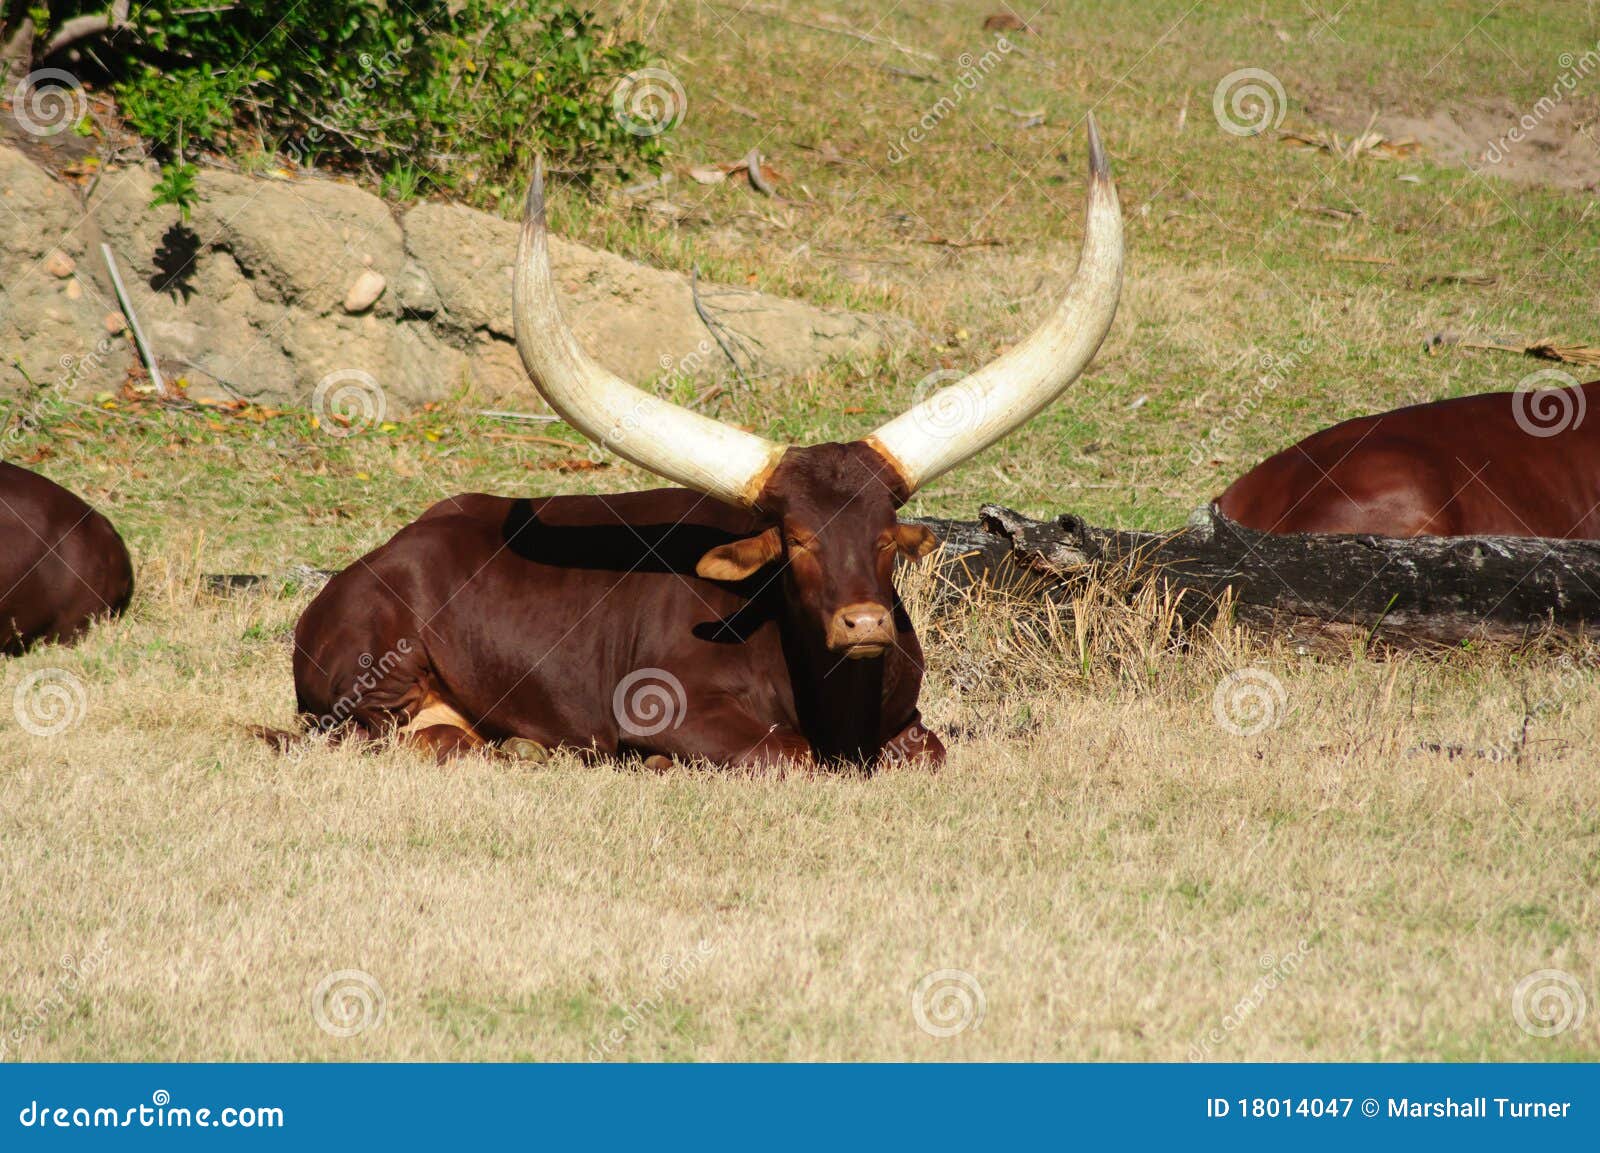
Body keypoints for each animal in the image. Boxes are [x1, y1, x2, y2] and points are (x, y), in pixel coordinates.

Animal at [283, 119, 1123, 768]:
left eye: (886, 537)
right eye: (795, 541)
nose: (865, 624)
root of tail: (370, 560)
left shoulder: (909, 725)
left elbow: (931, 749)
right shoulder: (672, 706)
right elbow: (786, 755)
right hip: (374, 679)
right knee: (406, 735)